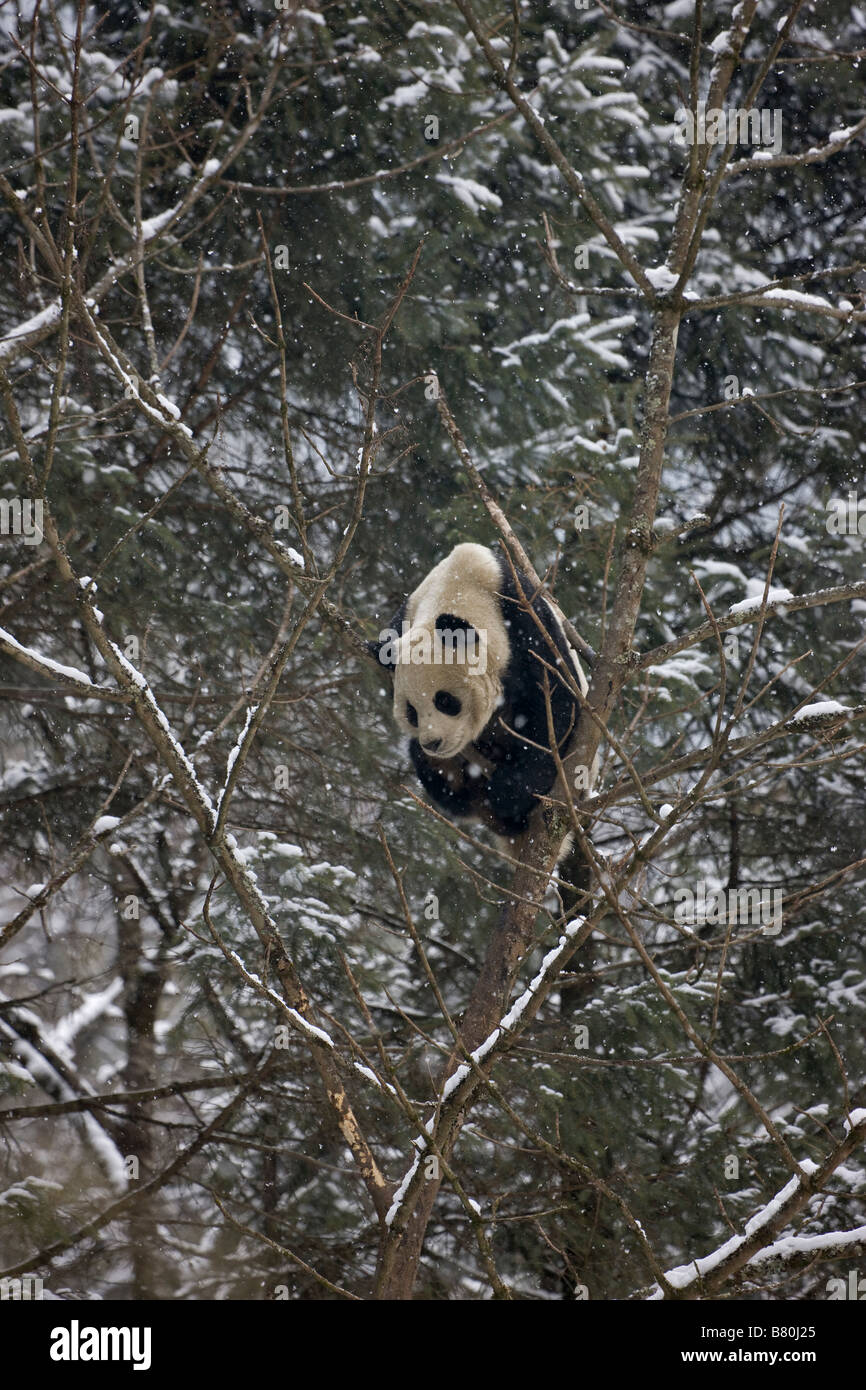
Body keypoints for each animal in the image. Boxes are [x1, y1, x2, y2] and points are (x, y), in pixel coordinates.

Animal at [372, 542, 589, 837]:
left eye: (445, 701)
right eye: (411, 712)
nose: (433, 743)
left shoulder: (524, 616)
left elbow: (555, 703)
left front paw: (509, 790)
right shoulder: (407, 615)